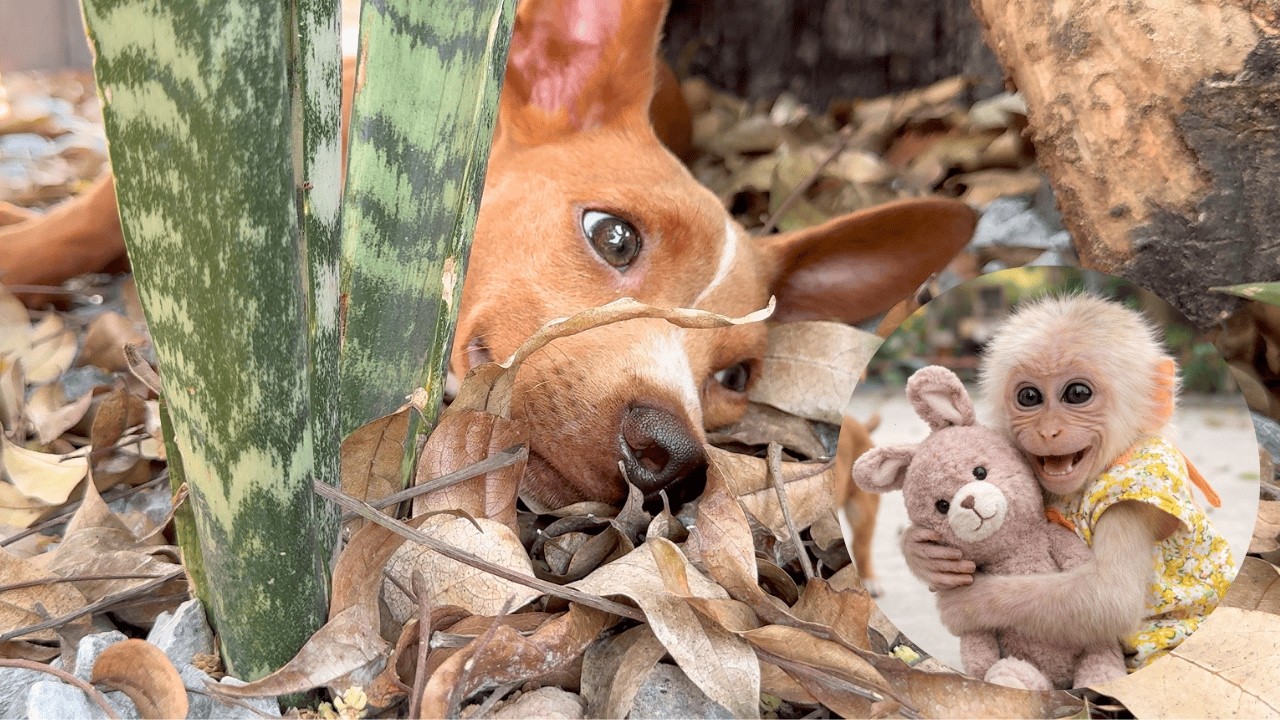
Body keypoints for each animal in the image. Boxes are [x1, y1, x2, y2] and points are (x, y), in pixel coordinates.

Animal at [902, 294, 1233, 671]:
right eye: (1029, 397)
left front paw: (967, 603)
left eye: (1077, 393)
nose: (1048, 431)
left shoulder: (1140, 478)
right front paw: (922, 554)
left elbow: (1110, 598)